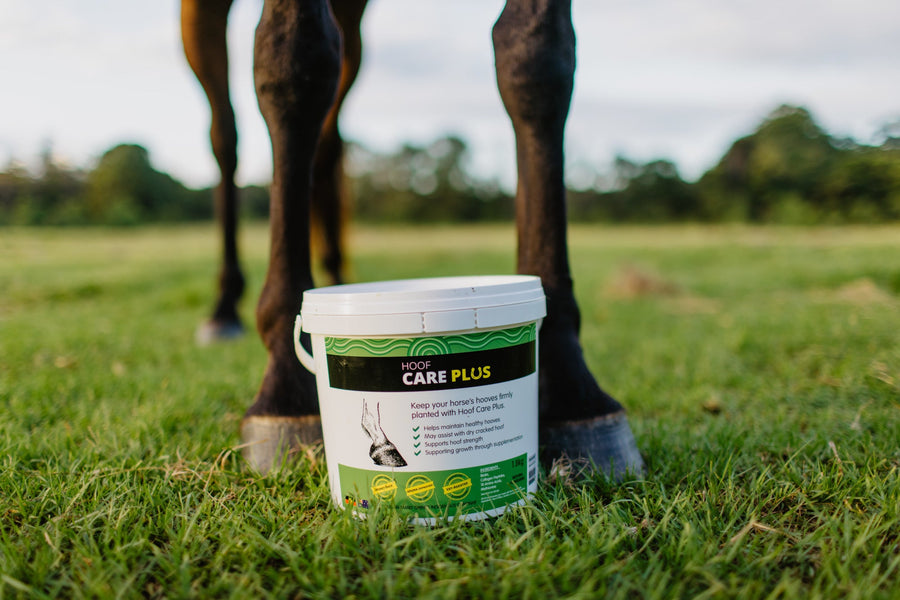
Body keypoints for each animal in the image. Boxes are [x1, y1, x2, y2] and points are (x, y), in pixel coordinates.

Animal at [181, 0, 643, 479]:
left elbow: (538, 60)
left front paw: (570, 387)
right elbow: (290, 57)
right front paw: (285, 389)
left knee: (327, 138)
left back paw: (335, 272)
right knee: (224, 135)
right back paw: (224, 306)